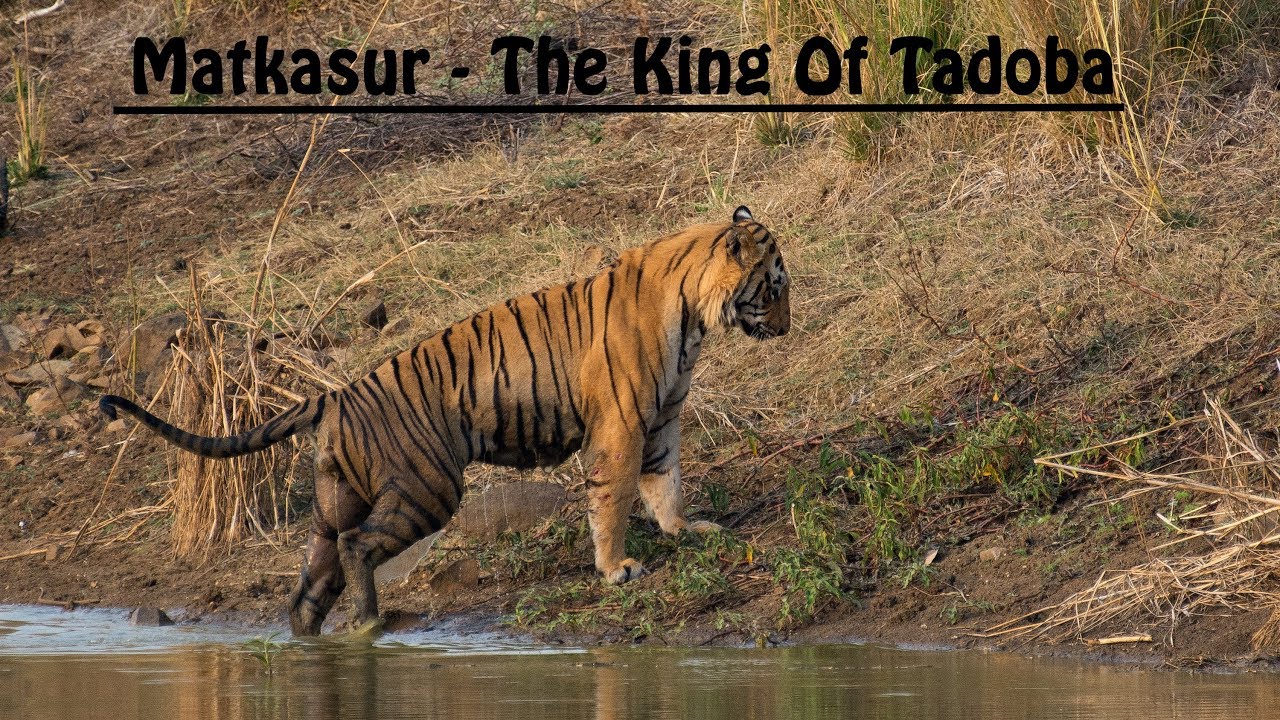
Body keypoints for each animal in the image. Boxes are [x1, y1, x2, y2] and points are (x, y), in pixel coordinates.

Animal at [100, 205, 791, 636]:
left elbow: (666, 481)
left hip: (334, 505)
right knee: (358, 548)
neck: (694, 315)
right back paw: (369, 624)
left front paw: (684, 530)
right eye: (775, 287)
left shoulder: (662, 421)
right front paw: (617, 567)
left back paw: (316, 638)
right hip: (426, 488)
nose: (787, 328)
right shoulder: (621, 427)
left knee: (310, 583)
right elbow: (616, 499)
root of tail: (338, 396)